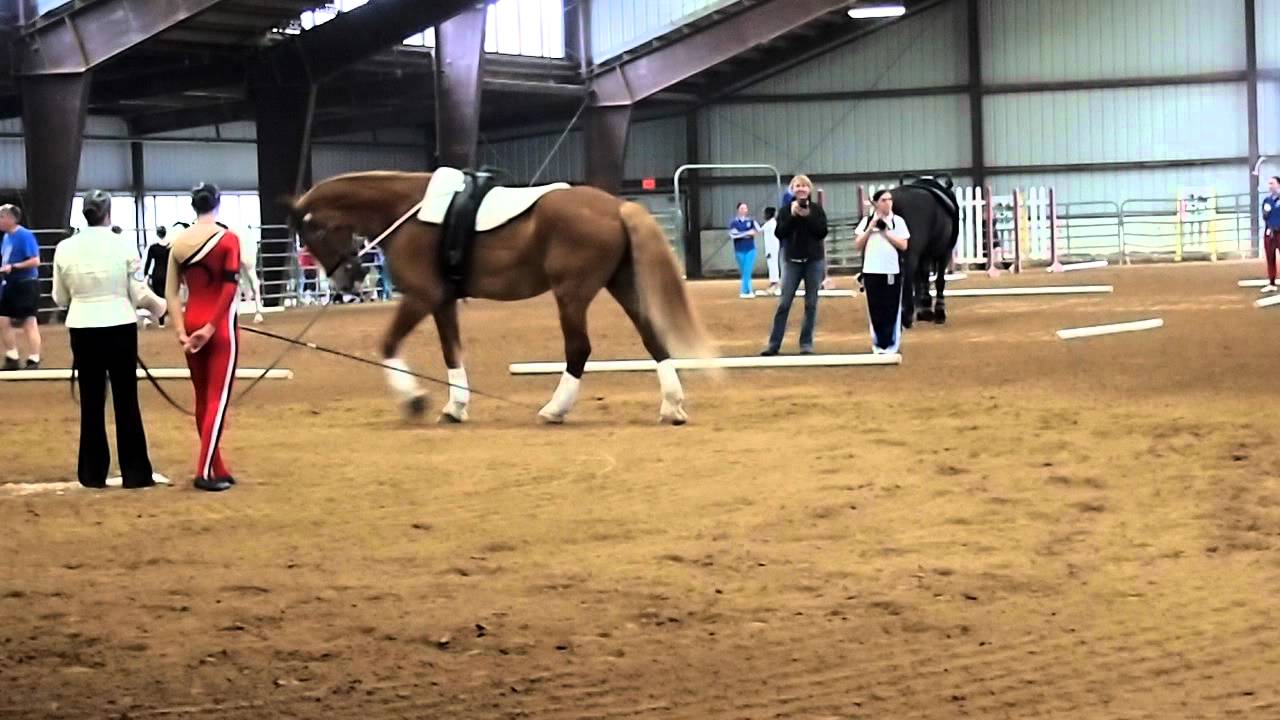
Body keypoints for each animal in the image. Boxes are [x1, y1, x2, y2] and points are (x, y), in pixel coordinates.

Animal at [287, 170, 712, 425]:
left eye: (312, 234)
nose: (347, 279)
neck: (407, 210)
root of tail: (617, 206)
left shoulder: (421, 297)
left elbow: (389, 344)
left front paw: (415, 401)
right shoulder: (442, 302)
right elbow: (451, 352)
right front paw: (455, 407)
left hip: (571, 294)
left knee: (578, 349)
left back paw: (554, 409)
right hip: (621, 284)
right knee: (652, 336)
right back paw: (672, 407)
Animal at [889, 175, 961, 326]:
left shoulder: (925, 255)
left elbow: (923, 278)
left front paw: (925, 310)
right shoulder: (945, 252)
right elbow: (938, 280)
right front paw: (939, 313)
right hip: (912, 252)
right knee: (908, 275)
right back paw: (906, 316)